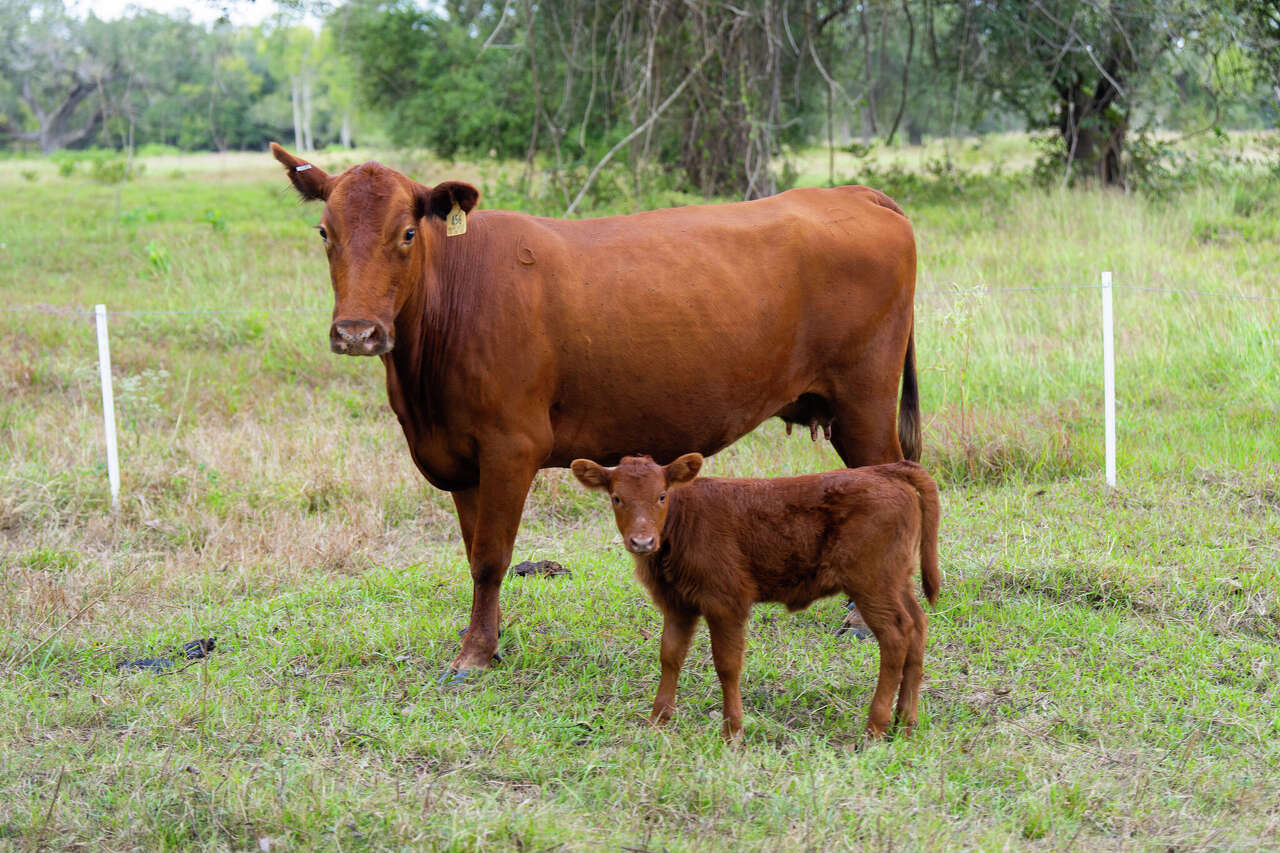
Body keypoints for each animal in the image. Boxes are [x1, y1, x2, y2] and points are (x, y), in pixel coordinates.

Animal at [269, 143, 920, 680]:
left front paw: (474, 655)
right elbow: (472, 550)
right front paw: (488, 639)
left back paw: (862, 619)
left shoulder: (511, 446)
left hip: (864, 400)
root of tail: (850, 193)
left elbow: (490, 557)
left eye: (406, 233)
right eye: (324, 231)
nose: (357, 332)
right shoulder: (458, 458)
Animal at [571, 454, 940, 740]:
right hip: (896, 580)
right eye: (616, 498)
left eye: (662, 496)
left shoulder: (726, 601)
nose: (642, 541)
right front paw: (657, 721)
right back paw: (905, 723)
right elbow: (670, 656)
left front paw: (732, 731)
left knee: (896, 635)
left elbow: (727, 664)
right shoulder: (677, 604)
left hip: (871, 582)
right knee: (917, 626)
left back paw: (875, 727)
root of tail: (884, 470)